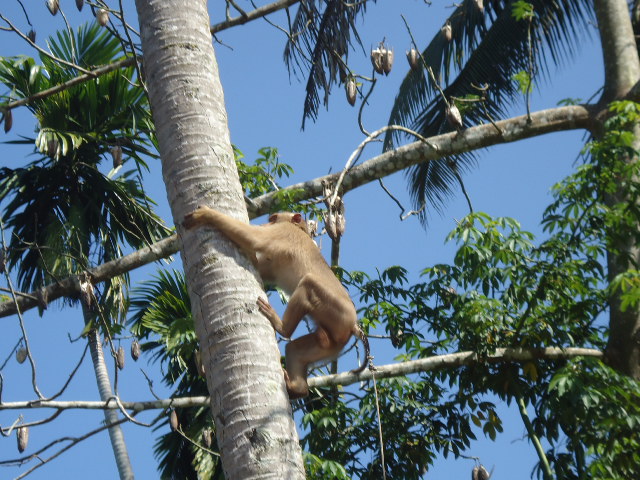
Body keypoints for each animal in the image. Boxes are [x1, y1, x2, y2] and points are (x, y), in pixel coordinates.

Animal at [182, 206, 370, 399]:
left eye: (272, 219)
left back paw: (282, 327)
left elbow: (254, 238)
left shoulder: (282, 231)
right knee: (296, 348)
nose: (265, 223)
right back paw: (297, 388)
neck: (299, 229)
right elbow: (259, 266)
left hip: (336, 310)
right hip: (335, 342)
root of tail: (353, 325)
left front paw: (206, 214)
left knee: (308, 283)